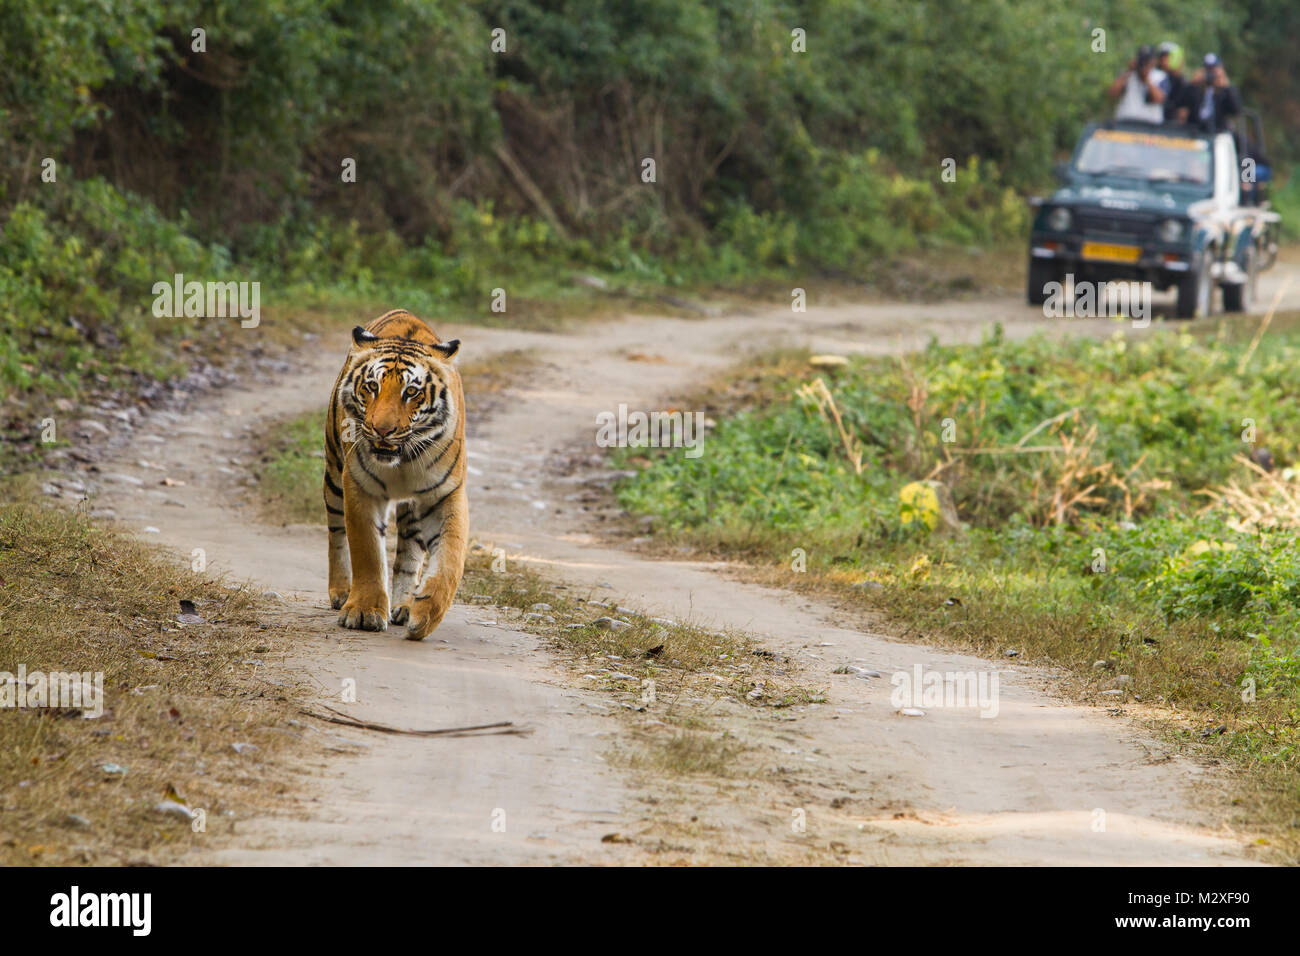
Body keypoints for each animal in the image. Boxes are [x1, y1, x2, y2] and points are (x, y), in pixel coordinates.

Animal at [323, 309, 467, 641]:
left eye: (411, 392)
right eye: (372, 387)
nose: (383, 429)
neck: (402, 461)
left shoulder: (445, 493)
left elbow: (450, 557)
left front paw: (426, 613)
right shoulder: (360, 485)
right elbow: (367, 551)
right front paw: (364, 612)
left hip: (414, 506)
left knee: (410, 550)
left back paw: (404, 605)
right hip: (334, 475)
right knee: (336, 531)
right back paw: (341, 592)